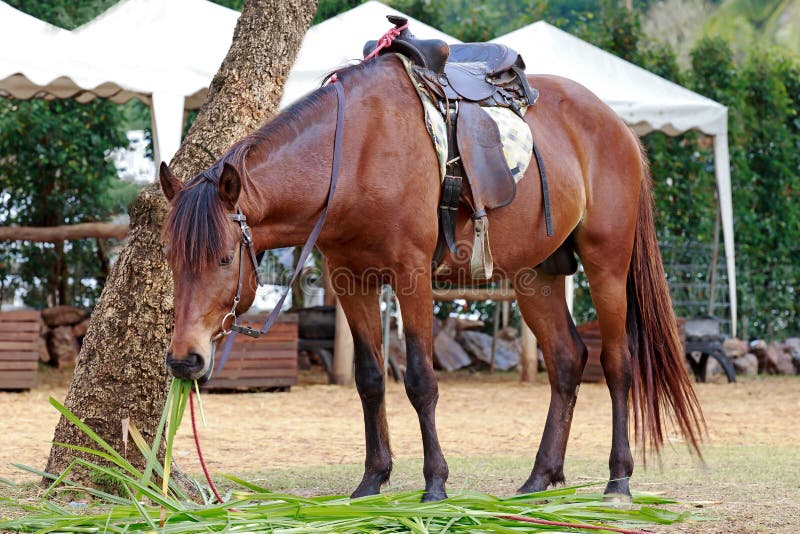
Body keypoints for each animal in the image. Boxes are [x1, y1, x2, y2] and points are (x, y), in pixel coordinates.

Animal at [159, 53, 704, 502]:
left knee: (618, 363)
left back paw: (618, 480)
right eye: (170, 257)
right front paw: (371, 480)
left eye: (224, 259)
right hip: (536, 276)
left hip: (606, 263)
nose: (185, 360)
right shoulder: (350, 279)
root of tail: (618, 127)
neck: (353, 152)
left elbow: (421, 380)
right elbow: (369, 379)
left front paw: (435, 483)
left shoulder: (412, 275)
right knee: (568, 359)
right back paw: (539, 477)